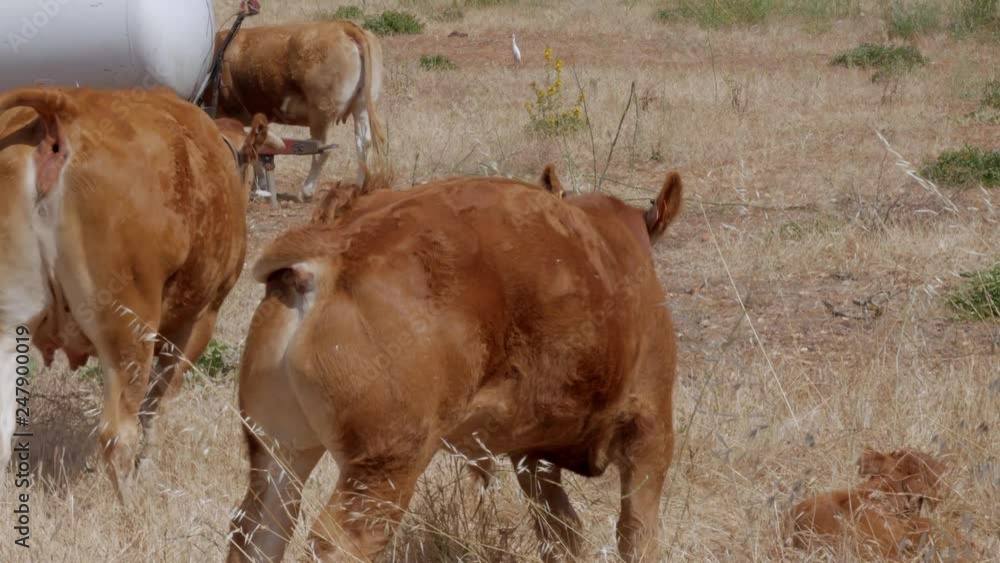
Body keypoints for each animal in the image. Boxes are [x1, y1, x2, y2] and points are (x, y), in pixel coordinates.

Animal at [0, 86, 270, 499]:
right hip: (128, 327)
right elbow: (157, 404)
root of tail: (63, 111)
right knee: (117, 434)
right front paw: (149, 469)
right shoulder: (200, 320)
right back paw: (131, 503)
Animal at [207, 20, 386, 202]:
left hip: (322, 114)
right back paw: (358, 188)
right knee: (363, 144)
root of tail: (343, 25)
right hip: (361, 106)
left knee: (322, 150)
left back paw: (306, 191)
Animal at [226, 167, 683, 562]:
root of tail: (338, 245)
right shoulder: (651, 429)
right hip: (385, 467)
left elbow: (562, 534)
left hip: (279, 451)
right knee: (336, 542)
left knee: (256, 532)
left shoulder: (531, 452)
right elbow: (636, 536)